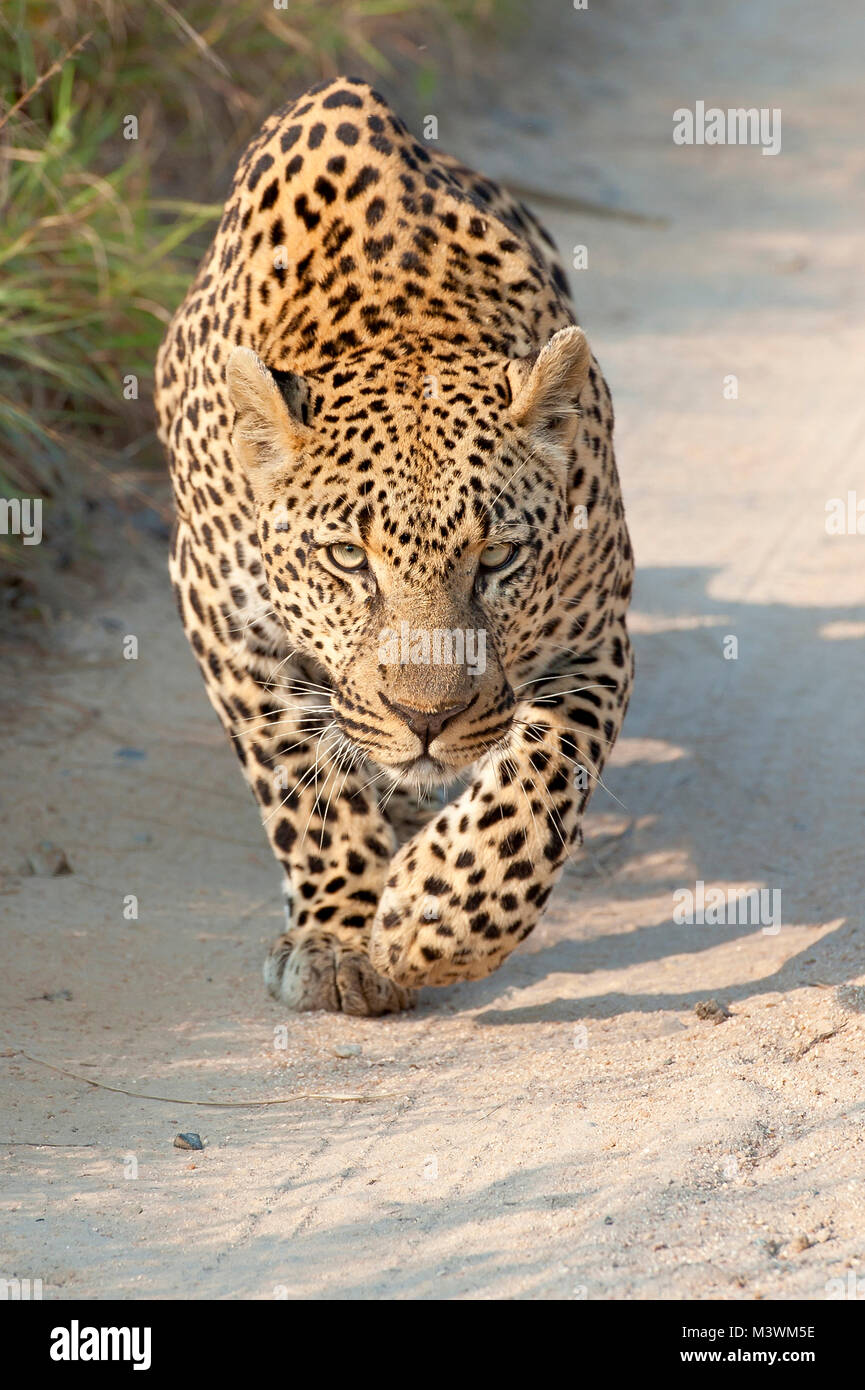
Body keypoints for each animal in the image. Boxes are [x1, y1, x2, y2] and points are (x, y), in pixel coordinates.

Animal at [154, 76, 634, 1017]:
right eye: (347, 559)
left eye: (497, 560)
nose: (426, 720)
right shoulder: (223, 620)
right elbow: (305, 784)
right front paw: (339, 939)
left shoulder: (594, 642)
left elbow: (532, 791)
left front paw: (423, 923)